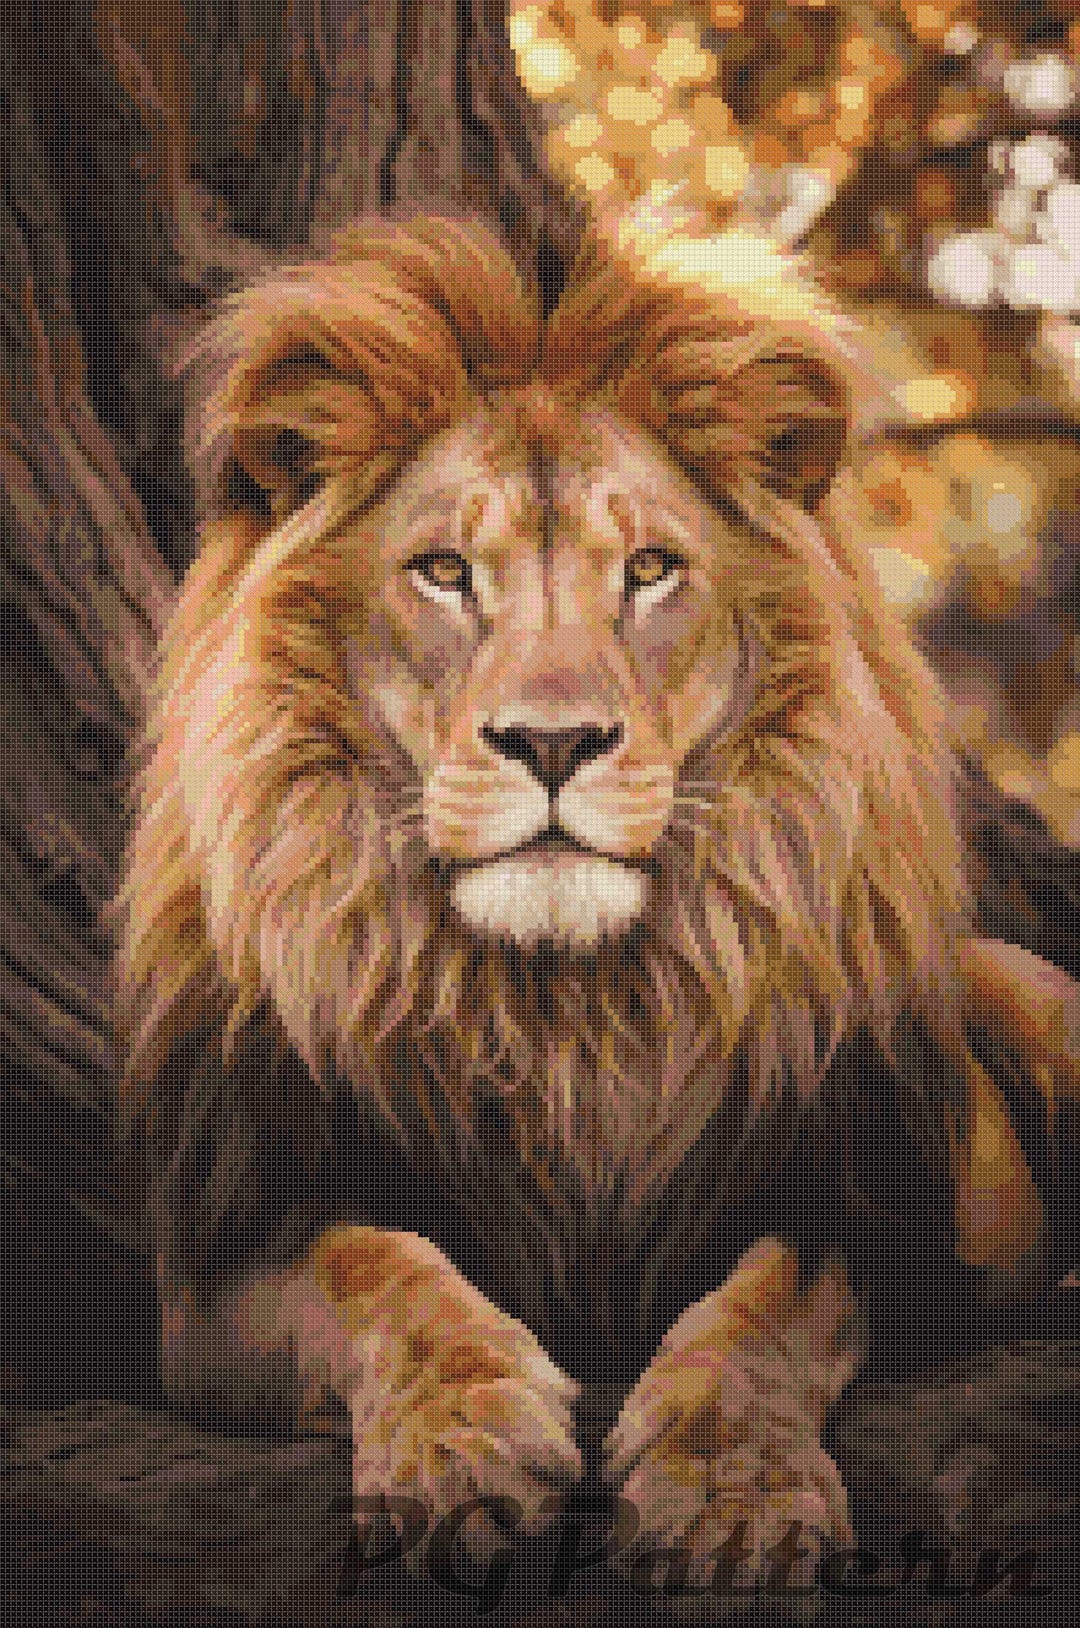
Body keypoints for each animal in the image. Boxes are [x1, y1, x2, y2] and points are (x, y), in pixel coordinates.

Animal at [112, 213, 1074, 1591]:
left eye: (652, 569)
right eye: (444, 572)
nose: (554, 741)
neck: (565, 1012)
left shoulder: (867, 1207)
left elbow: (764, 1306)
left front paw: (731, 1496)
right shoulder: (220, 1261)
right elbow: (376, 1268)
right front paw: (464, 1444)